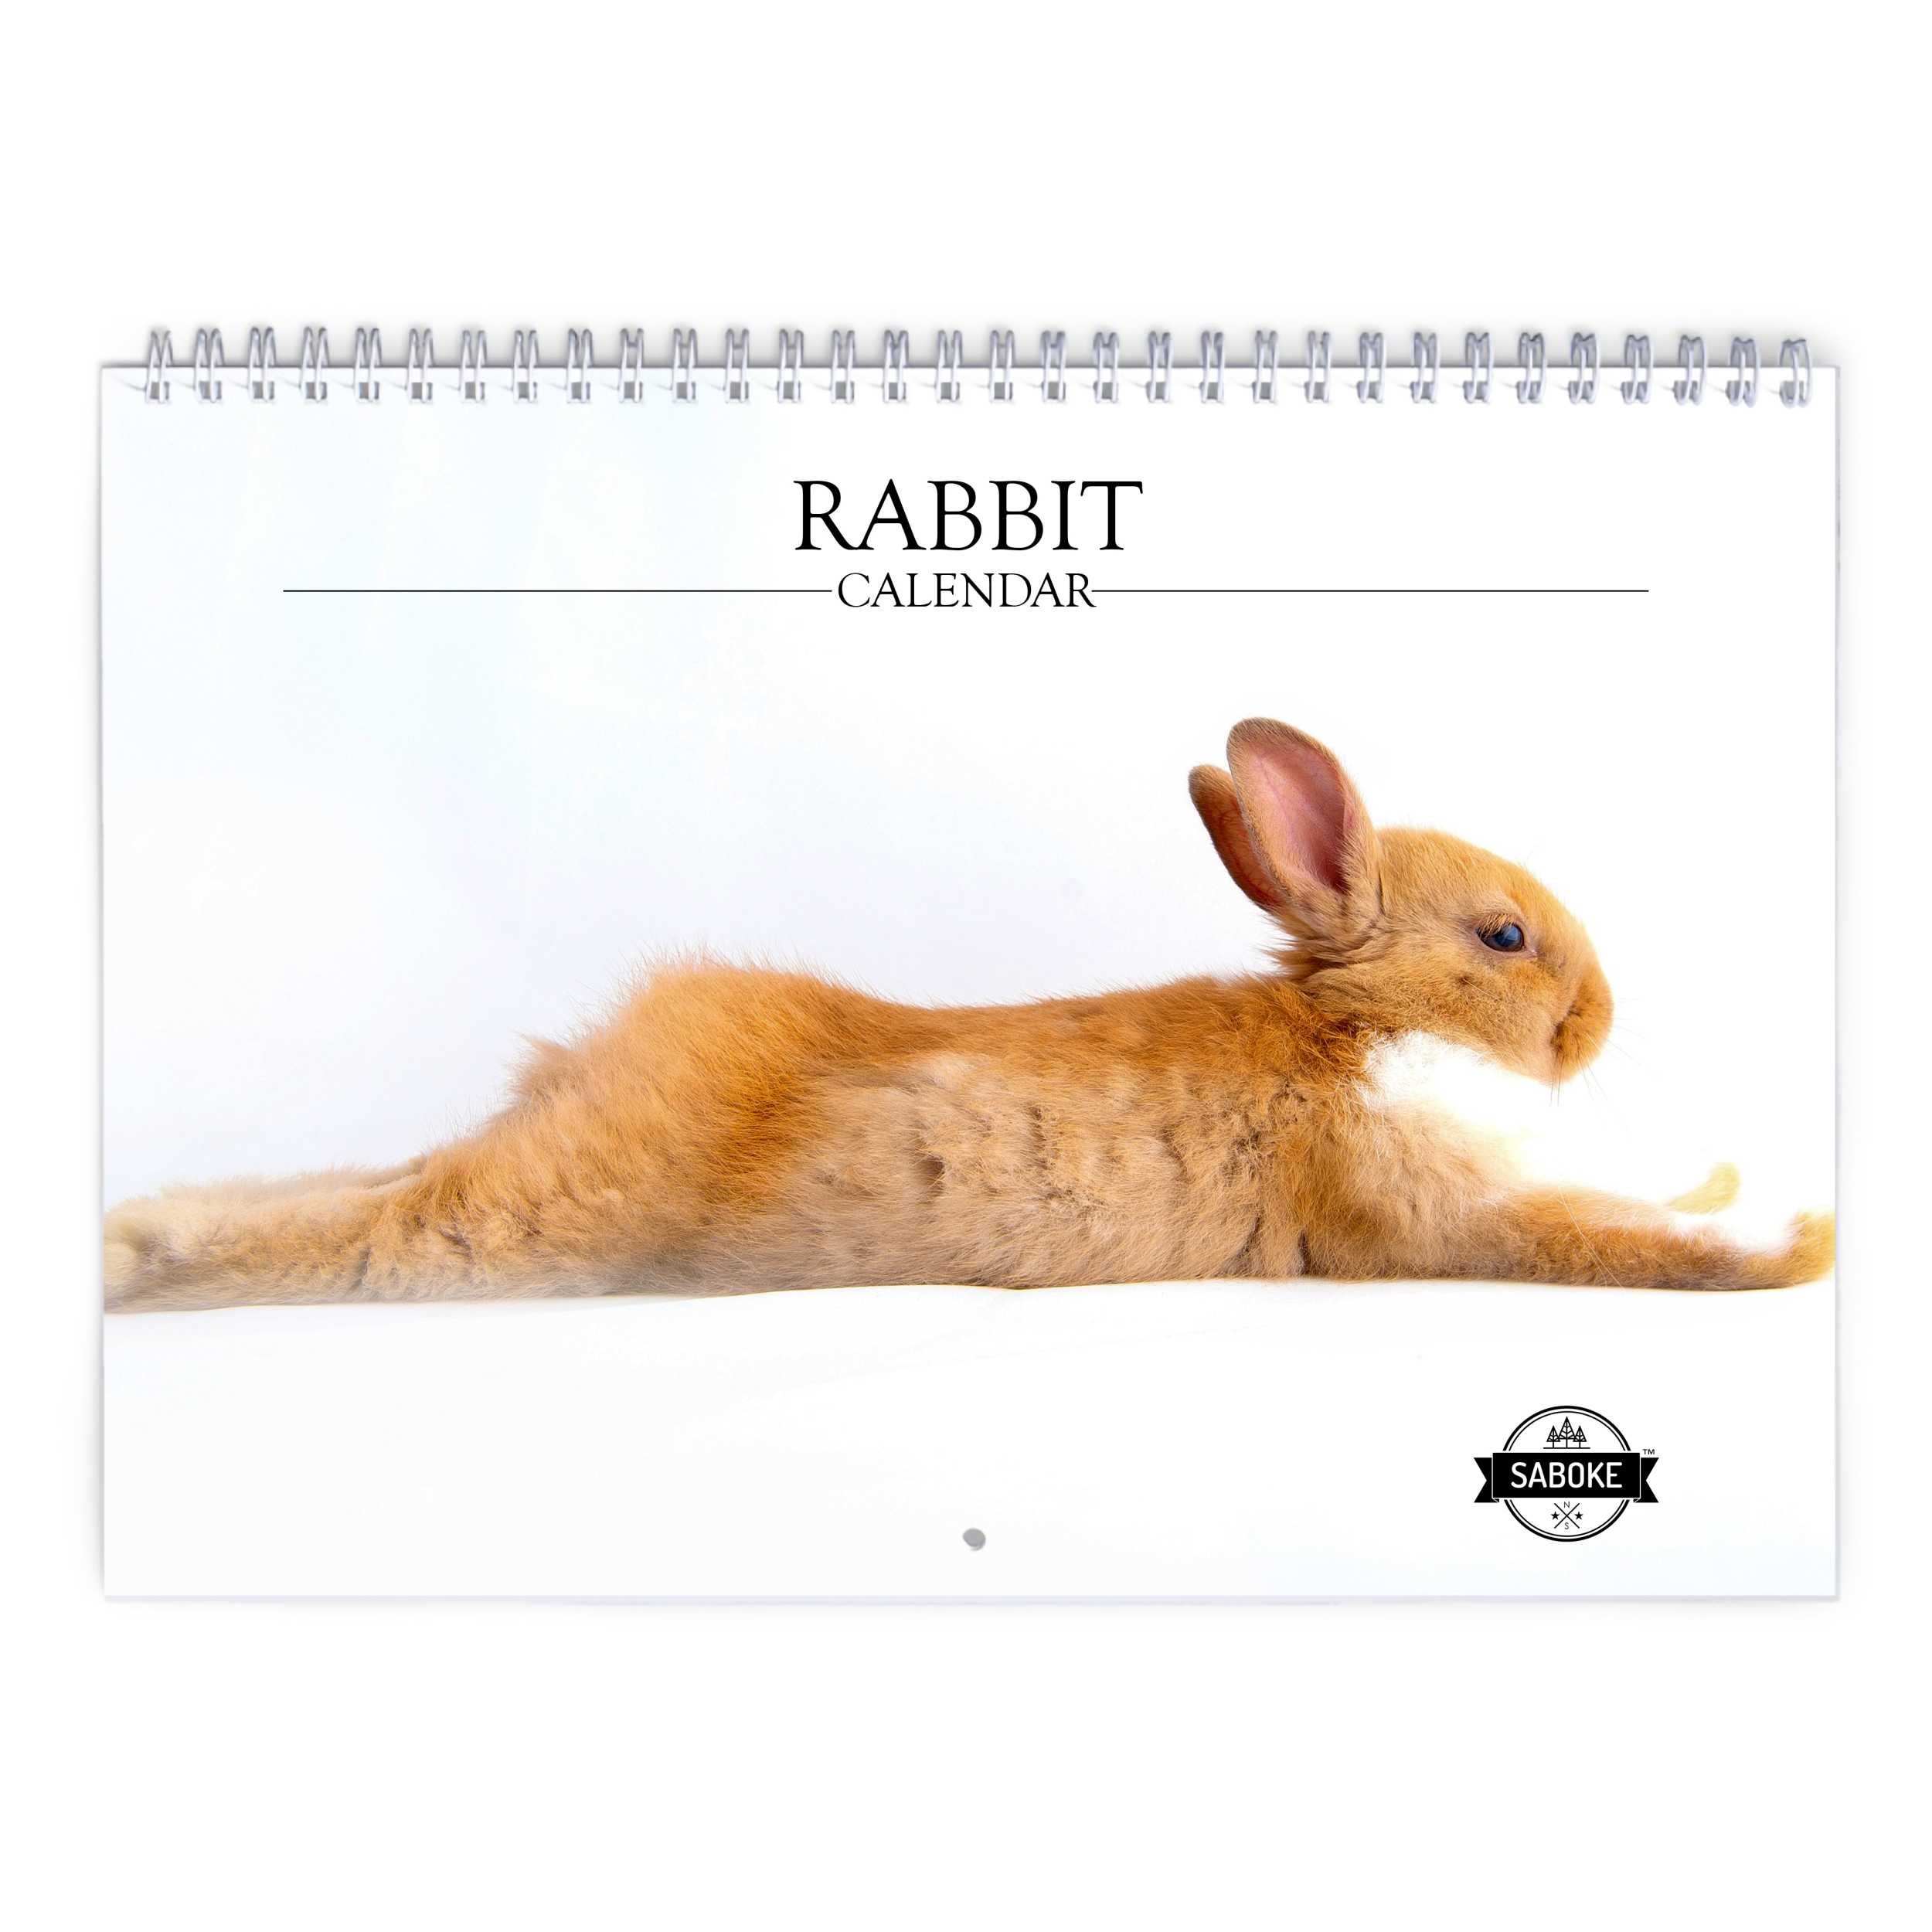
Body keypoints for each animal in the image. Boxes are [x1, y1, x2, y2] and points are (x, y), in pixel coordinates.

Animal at [104, 718, 1833, 1311]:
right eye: (1503, 937)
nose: (1595, 1023)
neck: (1353, 1032)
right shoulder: (1421, 1211)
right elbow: (1603, 1239)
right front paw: (1793, 1244)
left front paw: (1744, 1183)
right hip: (534, 1222)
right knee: (366, 1226)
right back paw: (143, 1258)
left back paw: (133, 1229)